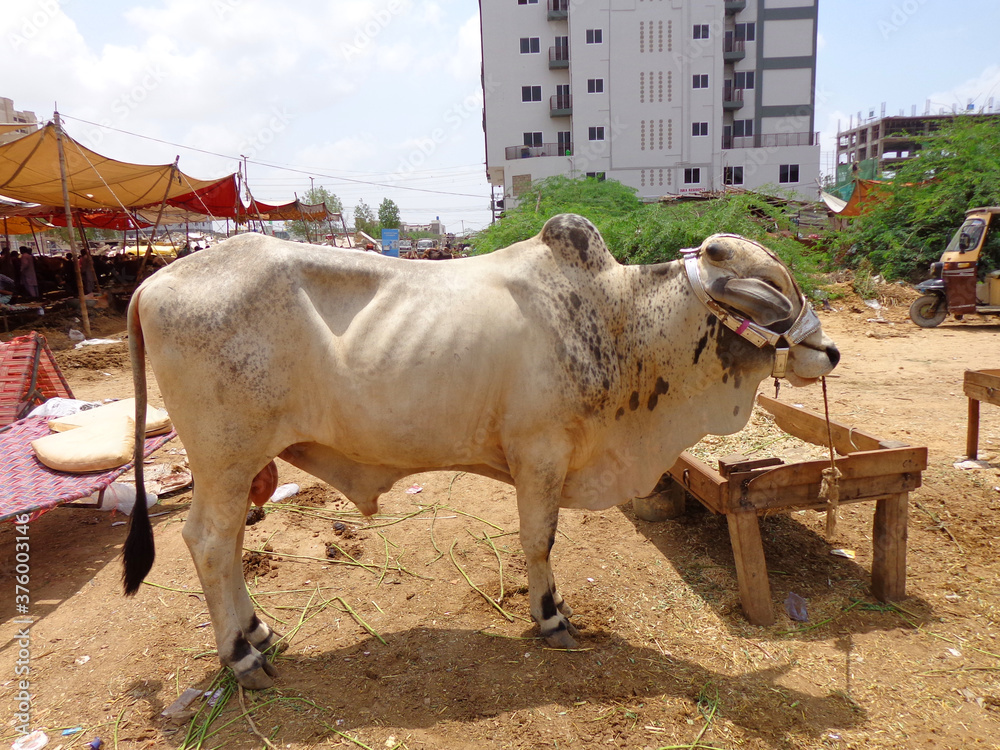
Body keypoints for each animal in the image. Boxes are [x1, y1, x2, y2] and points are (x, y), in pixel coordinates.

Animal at [122, 213, 839, 689]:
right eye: (773, 289)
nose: (828, 352)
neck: (621, 318)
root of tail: (150, 285)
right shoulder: (541, 453)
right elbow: (540, 541)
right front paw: (551, 619)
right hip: (224, 459)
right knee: (209, 543)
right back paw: (241, 656)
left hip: (239, 467)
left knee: (230, 546)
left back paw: (257, 632)